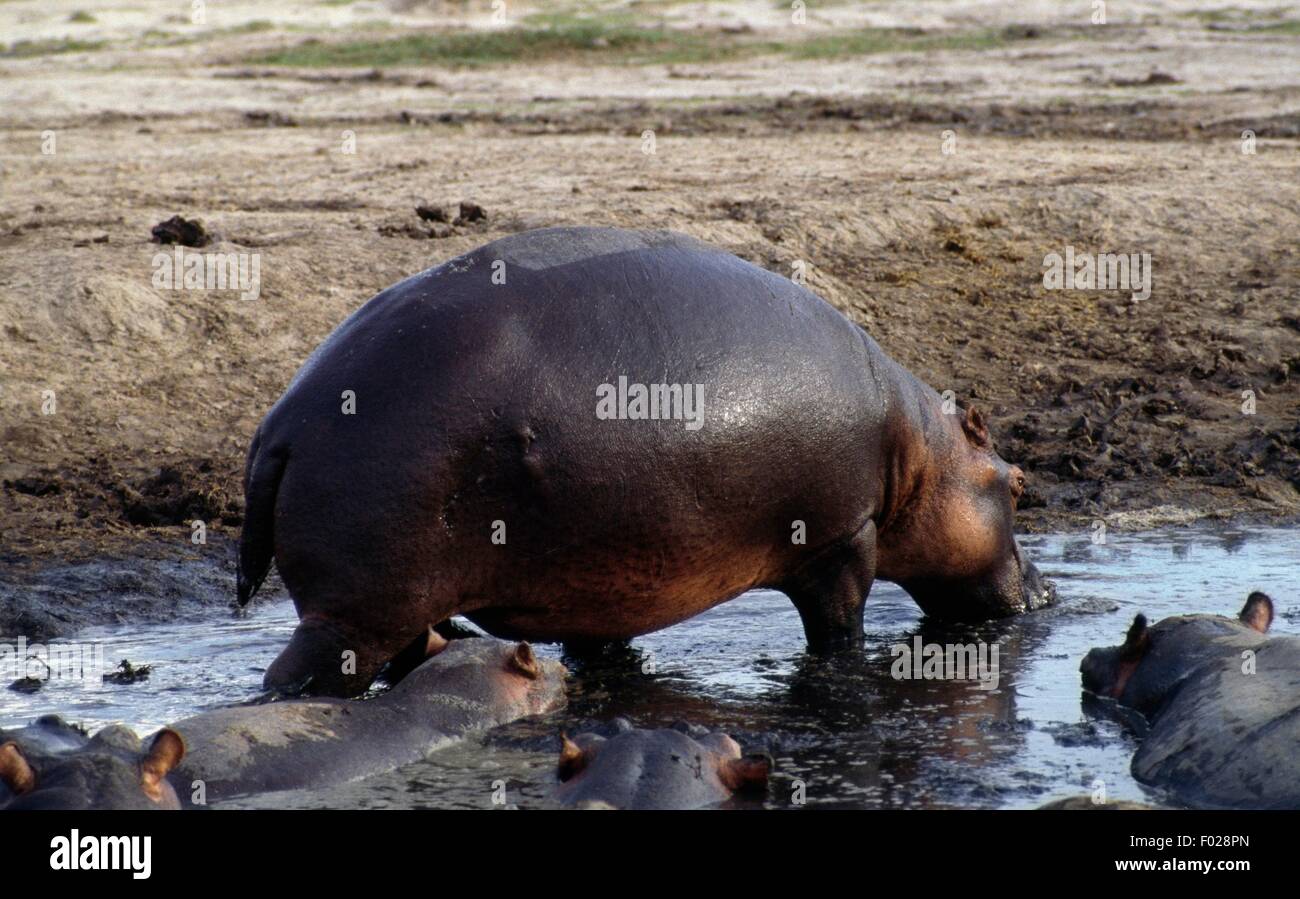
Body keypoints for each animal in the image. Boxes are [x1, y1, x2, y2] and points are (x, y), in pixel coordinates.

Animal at [239, 226, 1053, 696]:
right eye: (1018, 483)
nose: (1047, 589)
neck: (921, 452)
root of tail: (284, 423)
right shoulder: (842, 538)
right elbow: (838, 631)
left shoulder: (601, 577)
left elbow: (601, 643)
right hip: (352, 614)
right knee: (299, 676)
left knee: (414, 646)